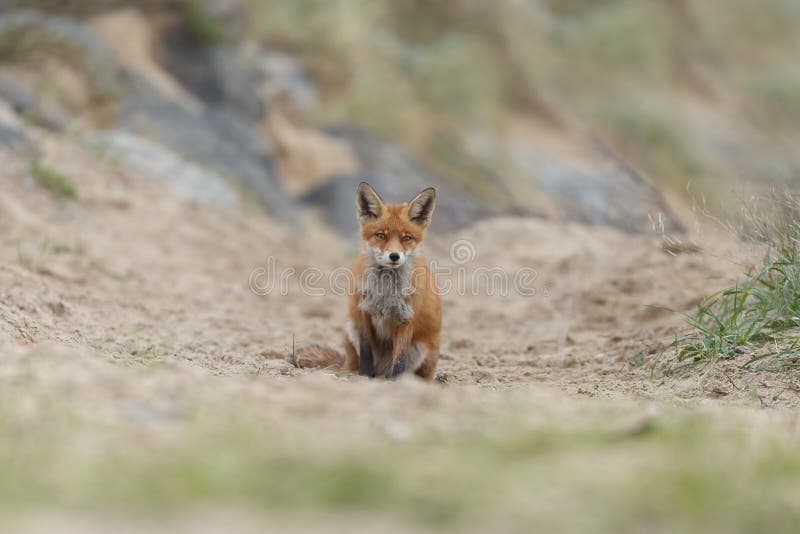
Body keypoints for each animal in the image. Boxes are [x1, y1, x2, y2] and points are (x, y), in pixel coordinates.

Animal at [294, 182, 442, 380]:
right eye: (381, 235)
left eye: (406, 238)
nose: (394, 256)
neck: (385, 290)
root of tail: (381, 370)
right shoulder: (363, 311)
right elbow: (366, 351)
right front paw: (364, 377)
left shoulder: (406, 319)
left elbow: (400, 359)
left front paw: (396, 382)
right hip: (350, 328)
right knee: (352, 364)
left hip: (421, 349)